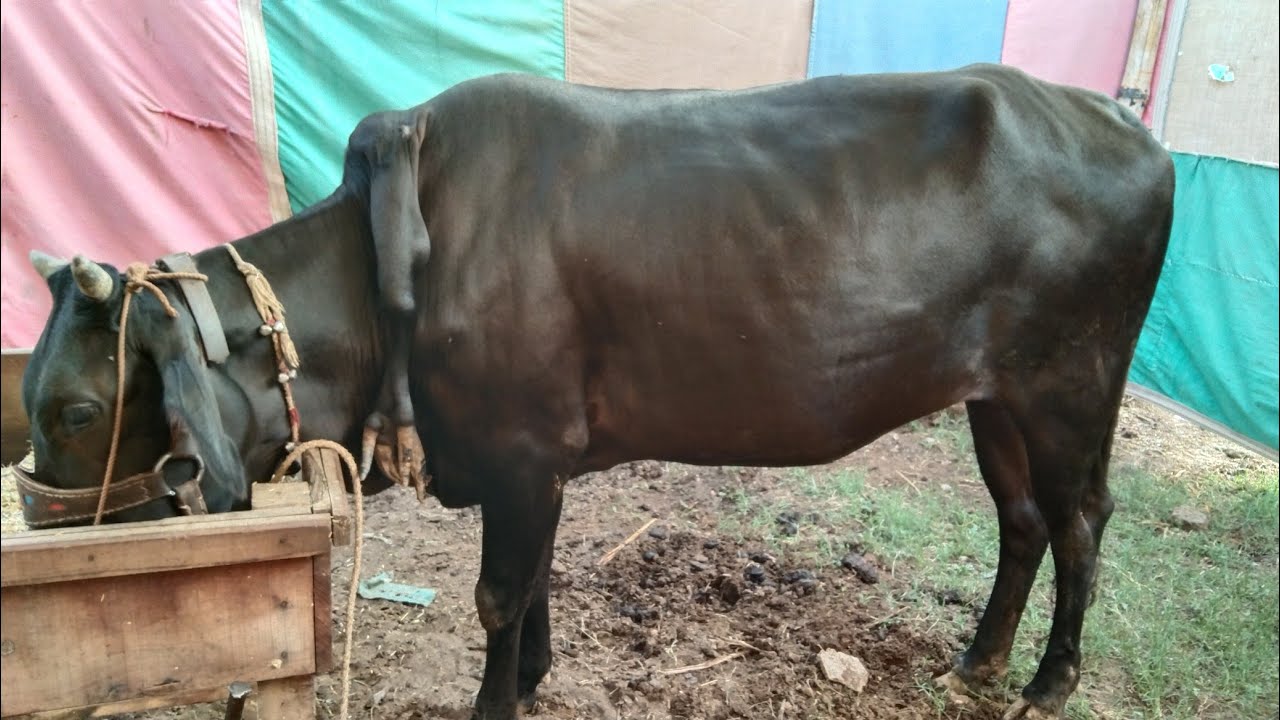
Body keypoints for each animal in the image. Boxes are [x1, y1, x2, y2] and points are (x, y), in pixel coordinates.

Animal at [19, 64, 1174, 719]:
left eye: (78, 409)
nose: (44, 521)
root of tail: (1123, 127)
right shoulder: (533, 467)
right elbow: (531, 587)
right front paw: (532, 677)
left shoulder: (522, 453)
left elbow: (497, 594)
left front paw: (496, 703)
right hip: (995, 400)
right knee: (1022, 521)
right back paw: (978, 663)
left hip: (1068, 389)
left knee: (1081, 522)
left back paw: (1049, 681)